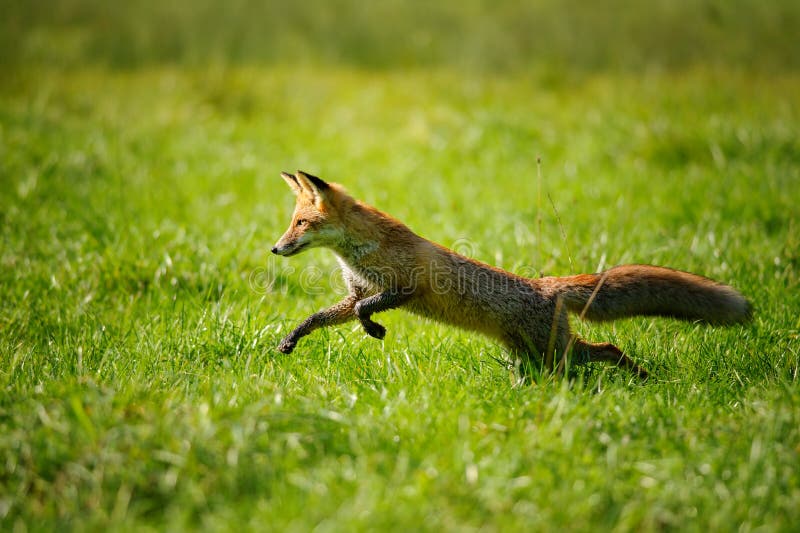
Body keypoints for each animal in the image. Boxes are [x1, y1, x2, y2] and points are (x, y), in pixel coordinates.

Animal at [271, 170, 752, 379]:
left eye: (301, 223)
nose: (275, 248)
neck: (357, 253)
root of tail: (546, 286)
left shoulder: (407, 287)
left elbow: (368, 310)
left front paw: (374, 330)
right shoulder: (355, 293)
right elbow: (321, 317)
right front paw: (291, 339)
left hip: (552, 352)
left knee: (608, 348)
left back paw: (641, 377)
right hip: (538, 352)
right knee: (601, 350)